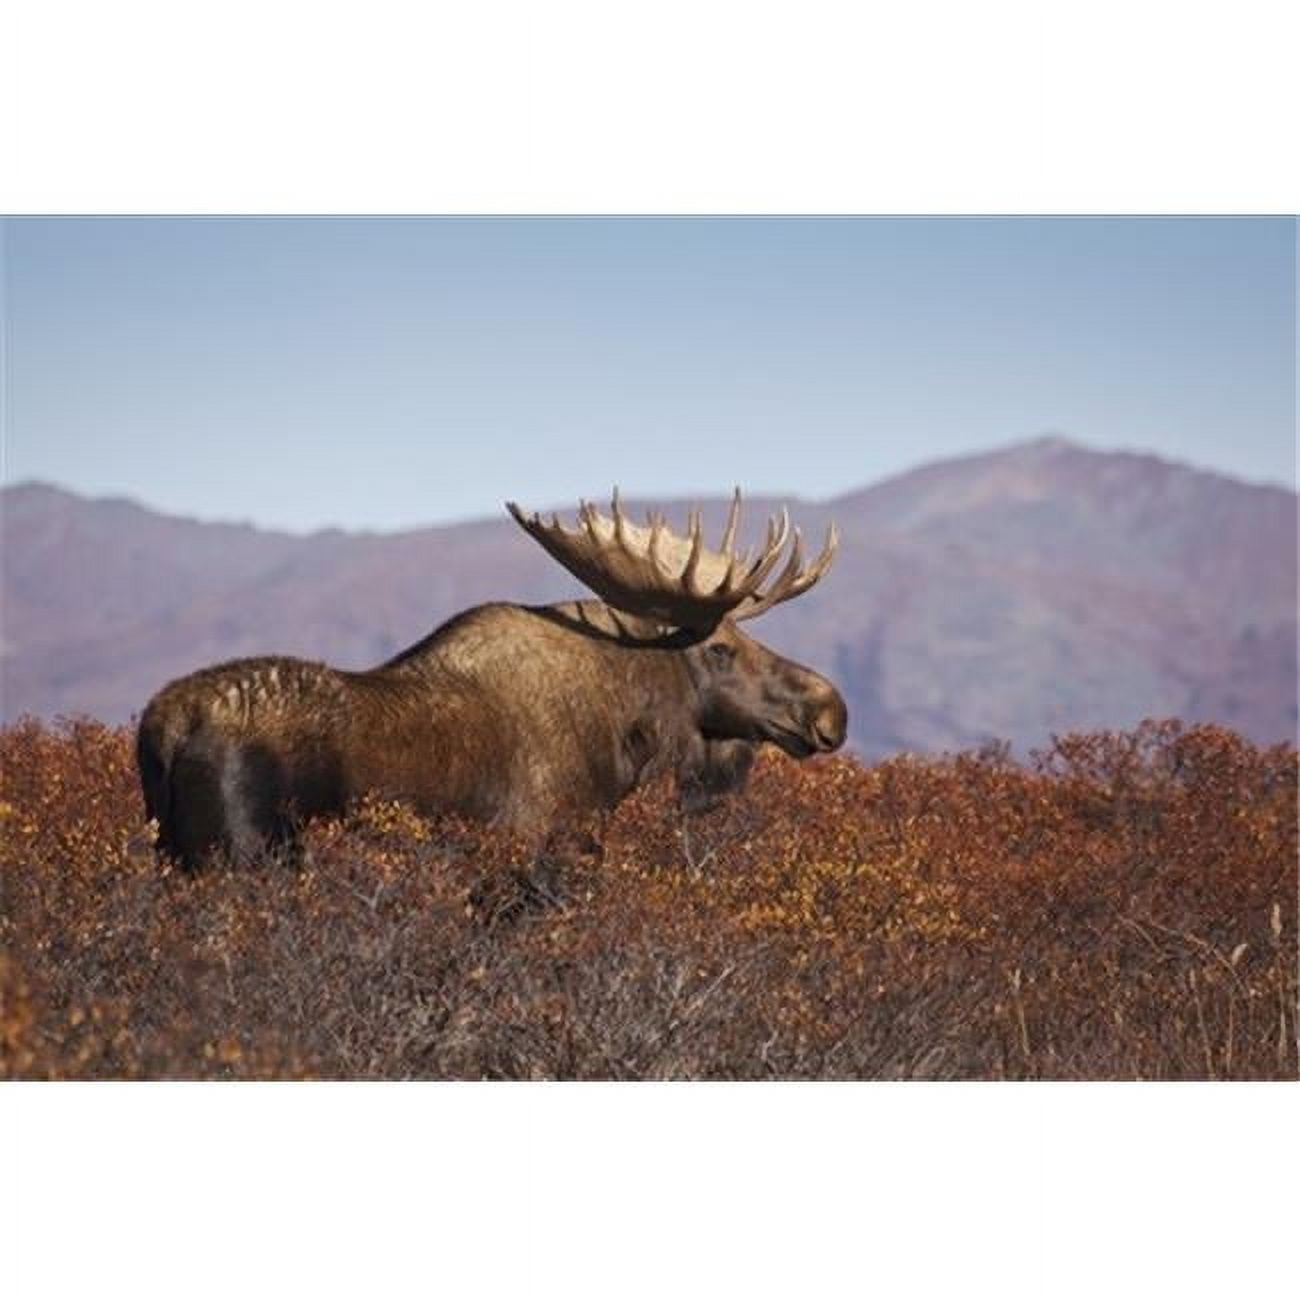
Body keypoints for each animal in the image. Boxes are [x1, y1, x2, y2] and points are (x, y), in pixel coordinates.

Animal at [136, 490, 847, 868]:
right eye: (721, 649)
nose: (831, 709)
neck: (628, 738)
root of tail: (162, 730)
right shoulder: (538, 854)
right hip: (243, 857)